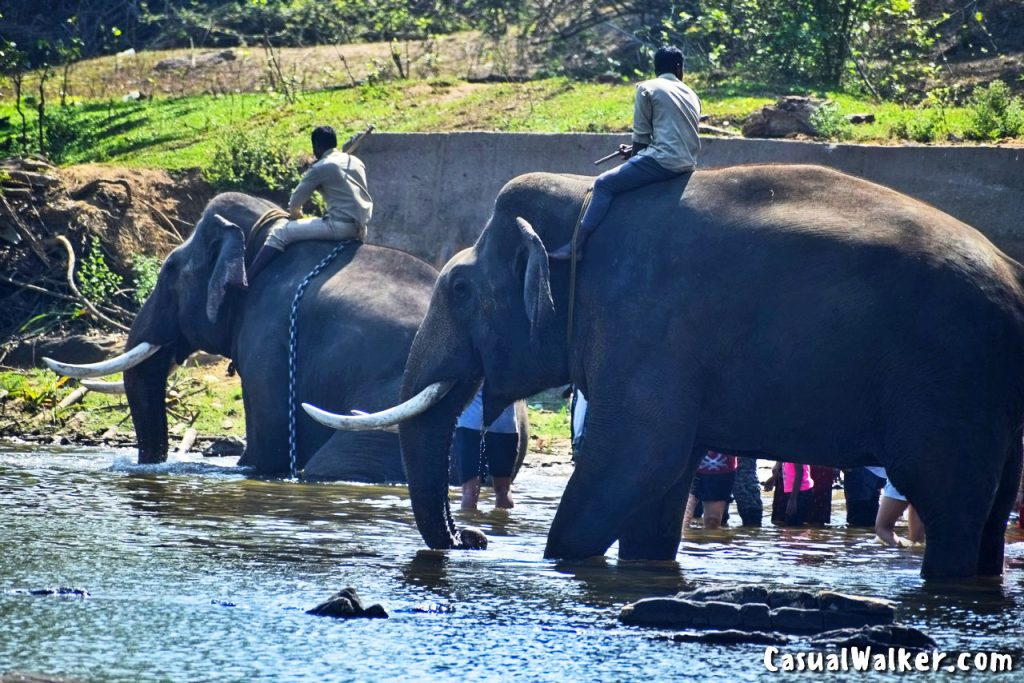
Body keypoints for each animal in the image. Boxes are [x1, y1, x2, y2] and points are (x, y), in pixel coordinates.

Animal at [307, 165, 1024, 581]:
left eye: (458, 289)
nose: (473, 538)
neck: (581, 208)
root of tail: (1013, 278)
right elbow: (656, 488)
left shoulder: (645, 325)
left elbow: (633, 461)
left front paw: (558, 559)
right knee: (989, 511)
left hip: (949, 378)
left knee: (950, 499)